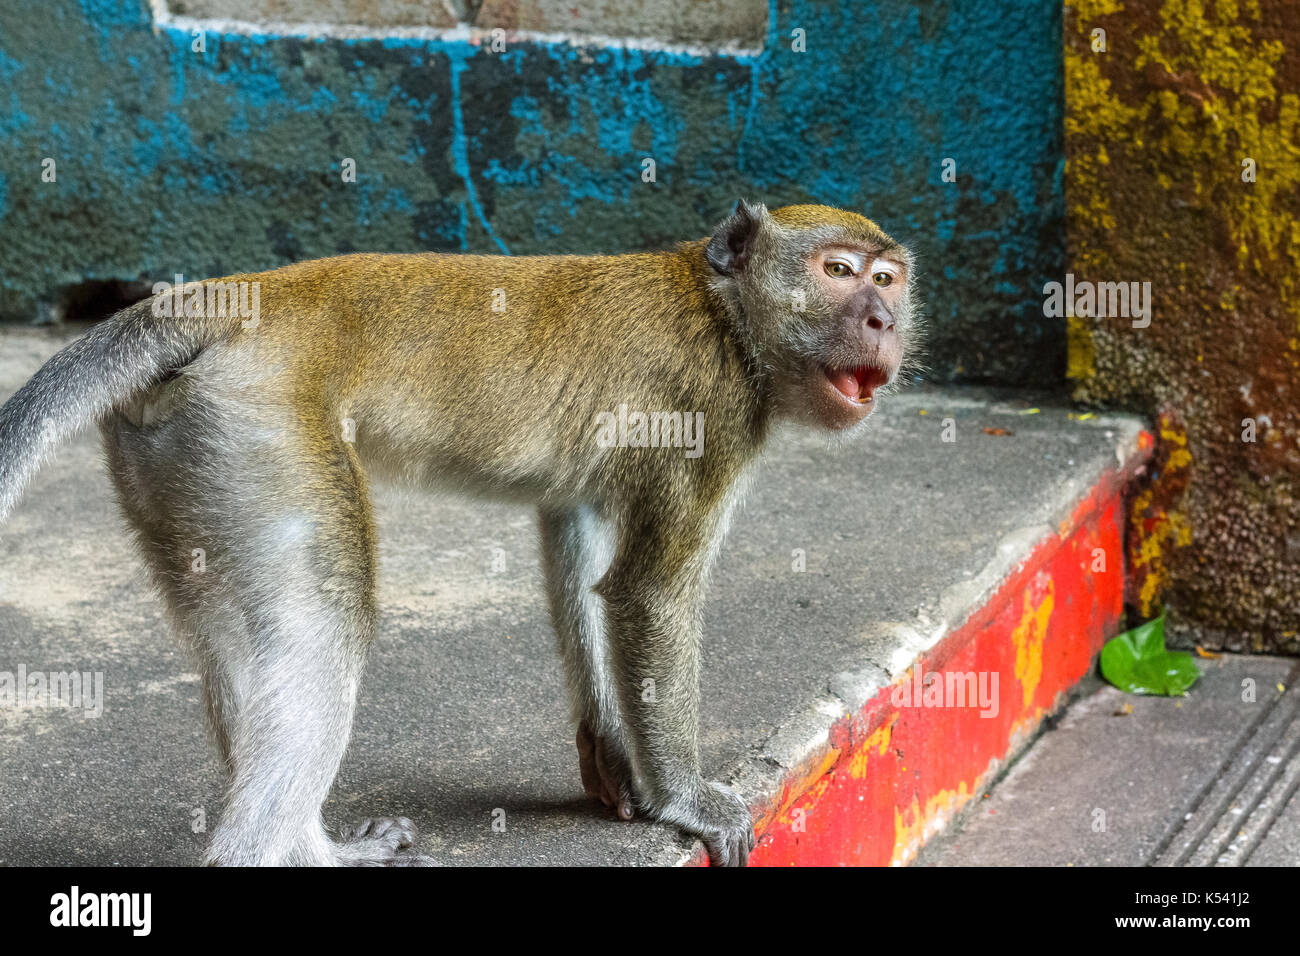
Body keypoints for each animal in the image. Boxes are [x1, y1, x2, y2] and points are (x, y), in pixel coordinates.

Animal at [0, 201, 918, 867]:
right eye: (838, 272)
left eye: (889, 278)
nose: (884, 320)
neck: (725, 311)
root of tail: (220, 301)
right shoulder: (709, 417)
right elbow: (648, 591)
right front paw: (683, 797)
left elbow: (581, 536)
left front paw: (611, 754)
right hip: (259, 428)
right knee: (325, 623)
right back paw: (276, 849)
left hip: (172, 451)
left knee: (232, 631)